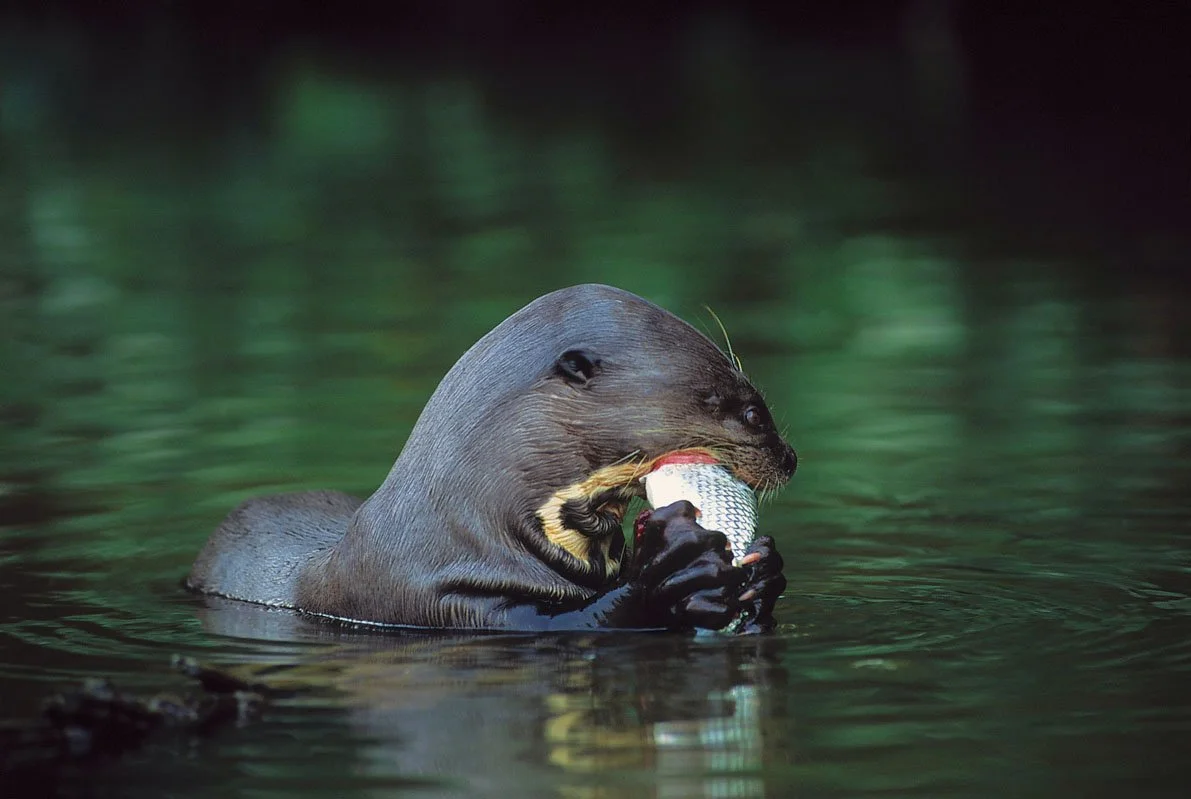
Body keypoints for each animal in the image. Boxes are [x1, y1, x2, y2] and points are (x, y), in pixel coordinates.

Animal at [187, 285, 796, 632]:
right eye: (739, 407)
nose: (789, 457)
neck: (466, 531)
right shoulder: (440, 602)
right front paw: (670, 571)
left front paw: (764, 570)